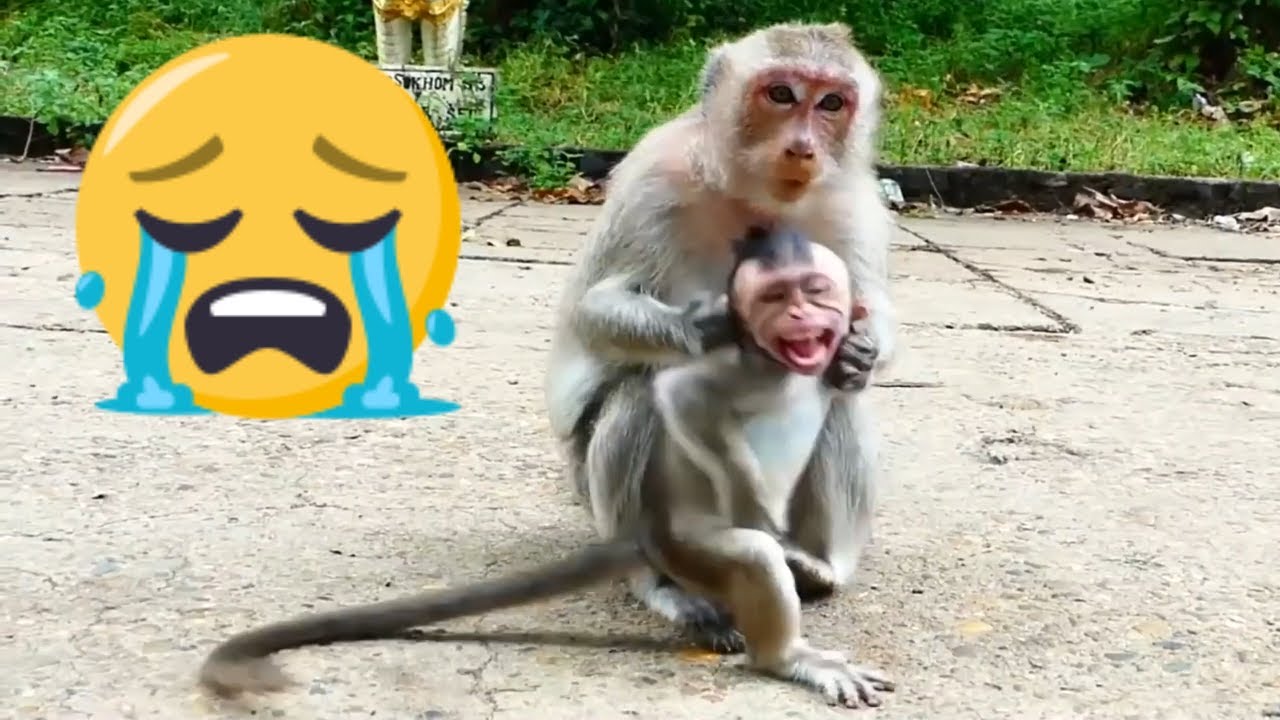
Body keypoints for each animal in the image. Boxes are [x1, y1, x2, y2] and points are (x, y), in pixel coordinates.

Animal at [195, 225, 893, 708]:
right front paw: (758, 513)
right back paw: (786, 653)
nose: (801, 317)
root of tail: (644, 534)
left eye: (815, 292)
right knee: (748, 555)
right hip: (689, 544)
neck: (786, 365)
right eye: (777, 296)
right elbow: (681, 395)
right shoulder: (745, 365)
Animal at [542, 19, 896, 669]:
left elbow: (868, 311)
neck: (759, 202)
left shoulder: (853, 206)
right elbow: (591, 313)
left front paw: (861, 347)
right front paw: (708, 327)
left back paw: (821, 568)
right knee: (637, 394)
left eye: (832, 103)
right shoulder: (652, 179)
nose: (803, 147)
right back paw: (660, 585)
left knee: (840, 393)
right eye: (780, 94)